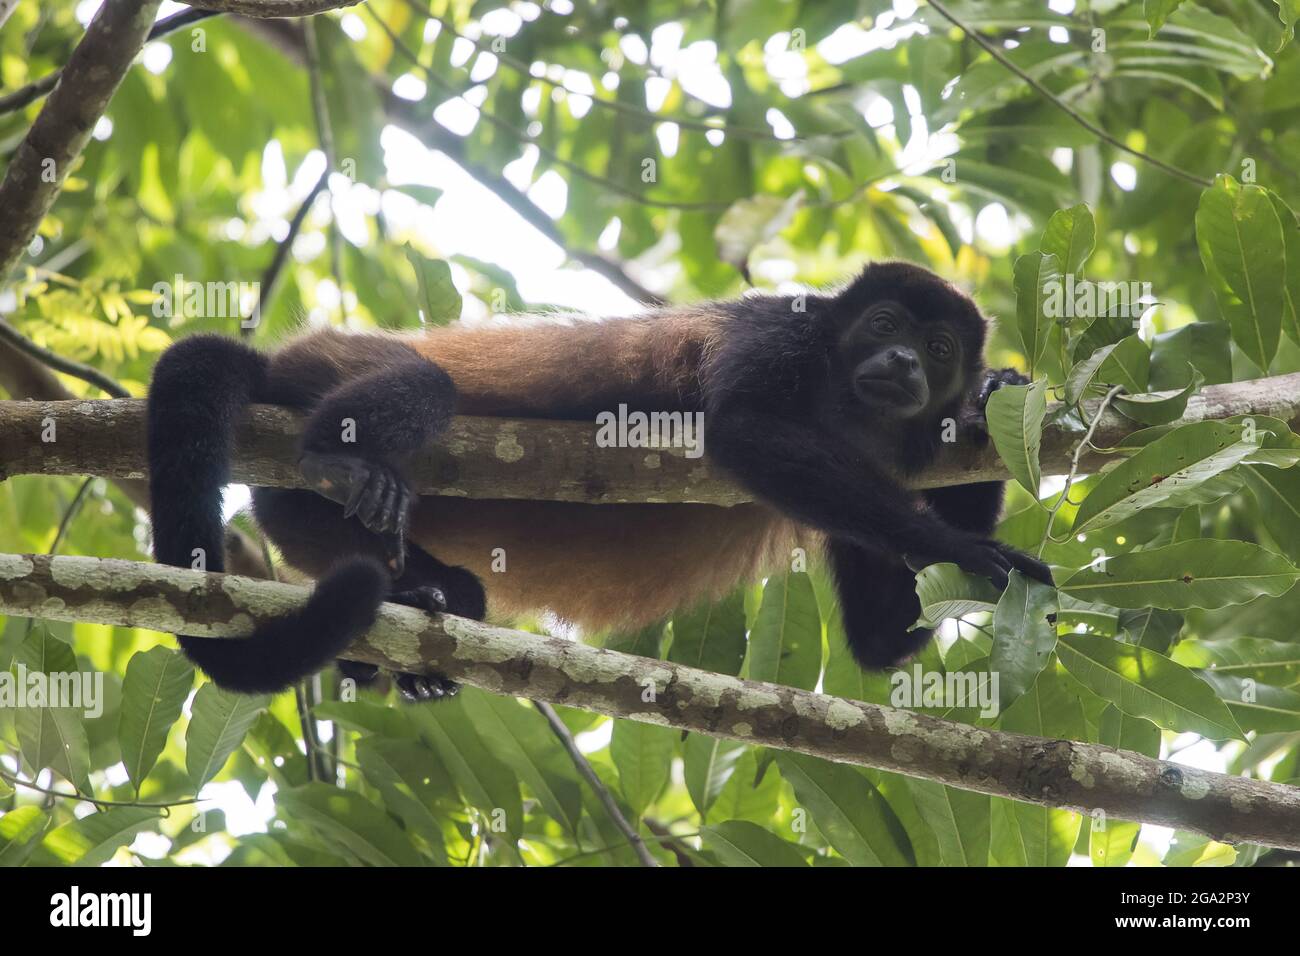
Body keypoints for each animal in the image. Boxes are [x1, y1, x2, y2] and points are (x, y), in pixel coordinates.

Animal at [145, 260, 1053, 701]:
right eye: (886, 324)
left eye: (939, 347)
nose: (904, 362)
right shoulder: (780, 332)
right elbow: (743, 432)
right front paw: (966, 548)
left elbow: (884, 636)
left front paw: (993, 395)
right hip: (332, 362)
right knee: (422, 387)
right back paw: (338, 459)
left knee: (450, 588)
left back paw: (418, 612)